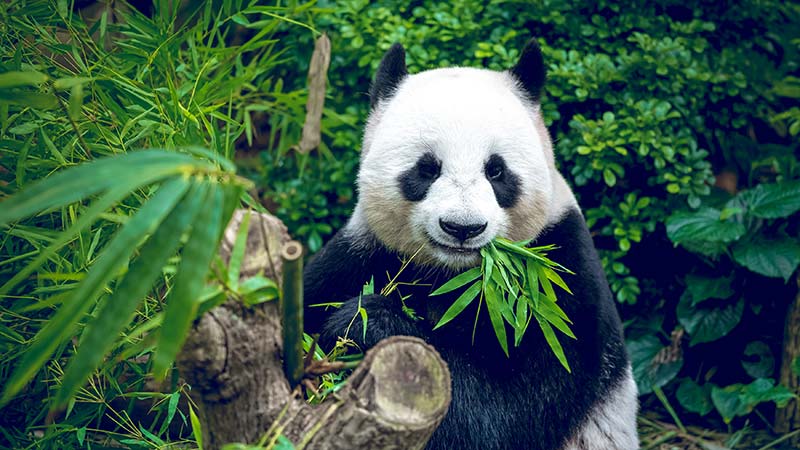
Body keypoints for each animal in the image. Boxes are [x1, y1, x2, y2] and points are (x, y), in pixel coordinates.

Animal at [303, 39, 639, 450]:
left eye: (496, 170)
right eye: (427, 168)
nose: (462, 227)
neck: (455, 274)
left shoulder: (556, 287)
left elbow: (501, 415)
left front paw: (366, 320)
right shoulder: (360, 253)